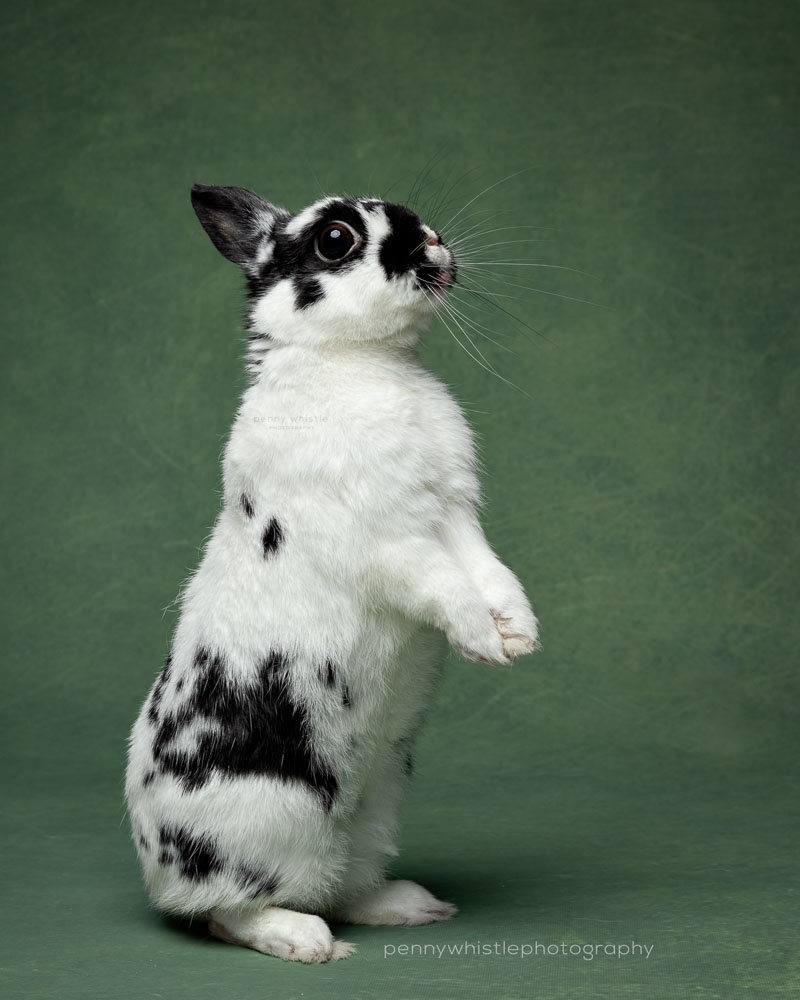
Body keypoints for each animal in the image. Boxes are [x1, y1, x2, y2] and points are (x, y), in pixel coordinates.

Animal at [124, 183, 539, 963]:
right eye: (337, 239)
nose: (433, 243)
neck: (361, 360)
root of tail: (156, 867)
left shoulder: (453, 515)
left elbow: (488, 571)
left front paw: (517, 636)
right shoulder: (390, 542)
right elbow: (443, 585)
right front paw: (481, 641)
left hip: (376, 807)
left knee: (341, 885)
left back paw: (413, 906)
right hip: (270, 822)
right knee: (228, 912)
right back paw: (306, 942)